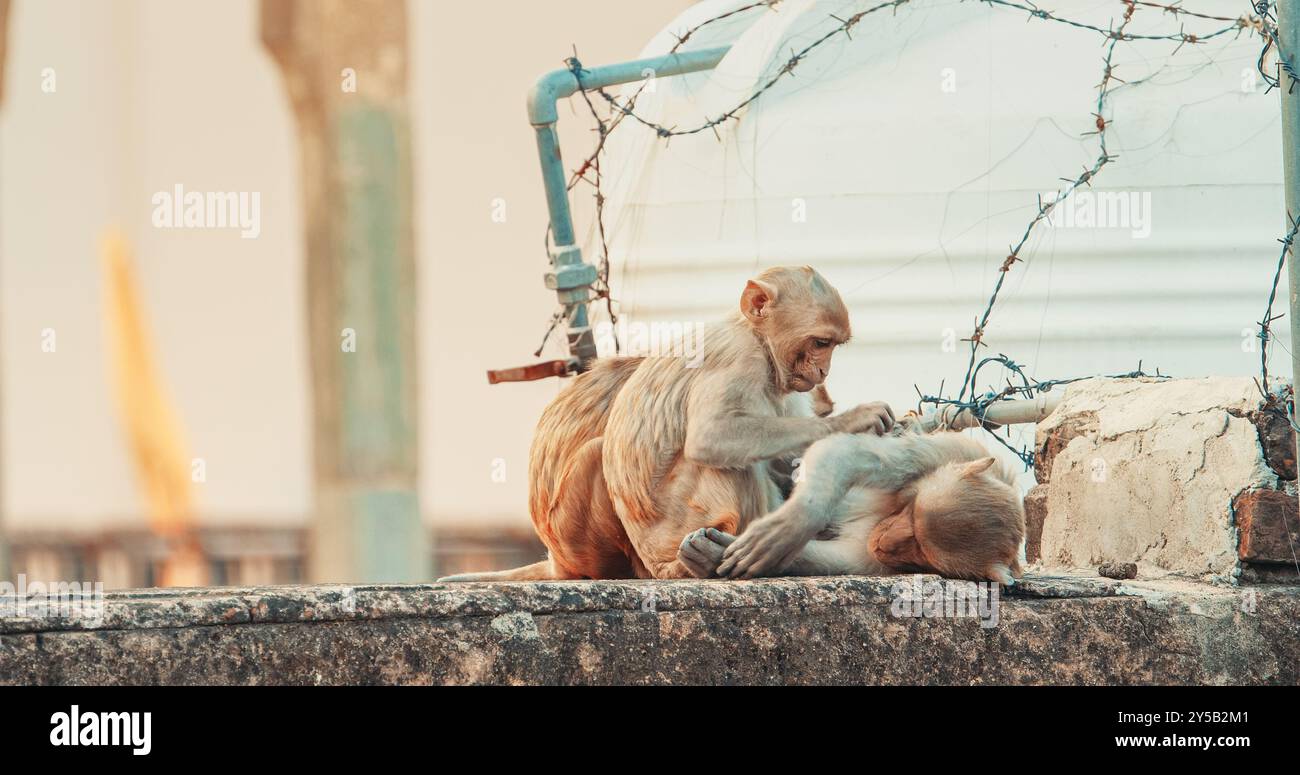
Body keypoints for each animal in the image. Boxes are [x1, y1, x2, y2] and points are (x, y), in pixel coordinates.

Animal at [439, 266, 894, 581]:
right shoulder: (740, 359)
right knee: (723, 460)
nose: (823, 371)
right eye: (820, 343)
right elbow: (711, 437)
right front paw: (855, 420)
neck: (756, 338)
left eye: (831, 346)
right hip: (664, 532)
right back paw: (706, 562)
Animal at [676, 427, 1026, 584]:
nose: (881, 541)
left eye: (920, 551)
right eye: (910, 509)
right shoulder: (949, 451)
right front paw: (792, 525)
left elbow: (843, 558)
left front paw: (712, 557)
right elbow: (848, 453)